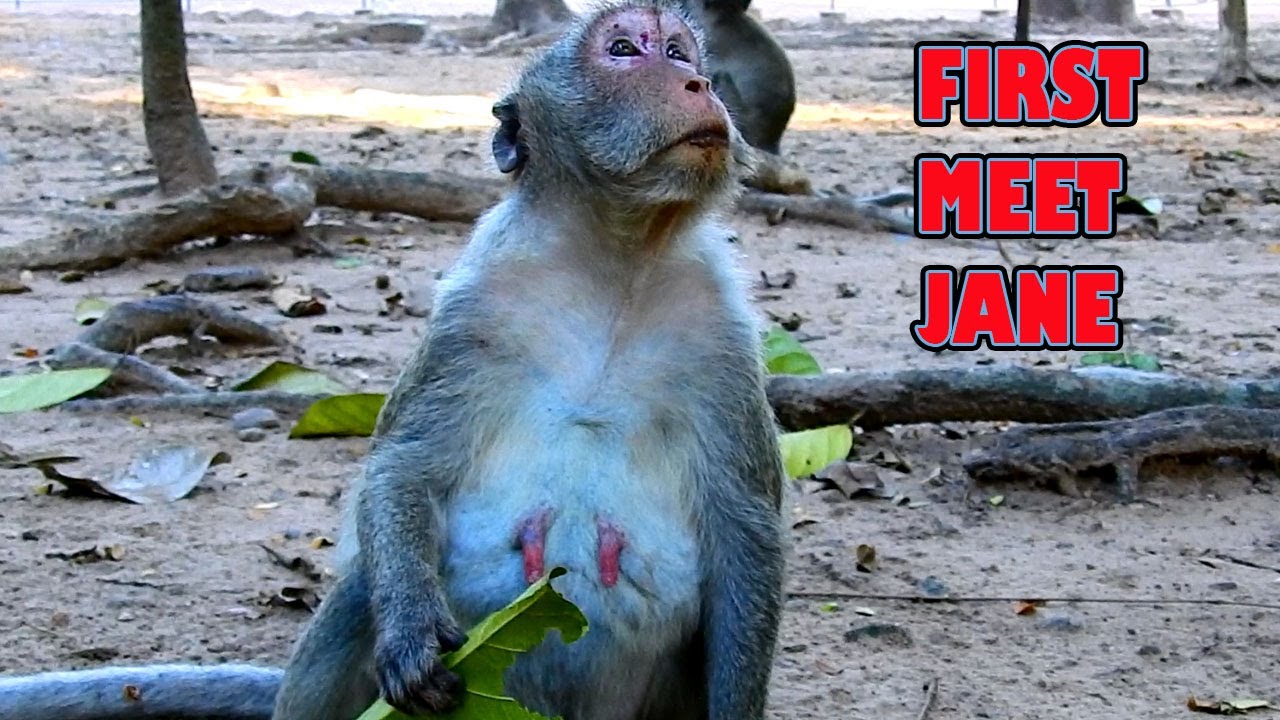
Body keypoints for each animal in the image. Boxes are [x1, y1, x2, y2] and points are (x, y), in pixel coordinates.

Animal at [0, 3, 785, 719]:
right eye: (626, 50)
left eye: (681, 52)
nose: (697, 84)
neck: (616, 261)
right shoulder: (470, 313)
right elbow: (405, 467)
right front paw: (410, 630)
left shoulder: (721, 335)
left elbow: (744, 524)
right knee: (355, 591)